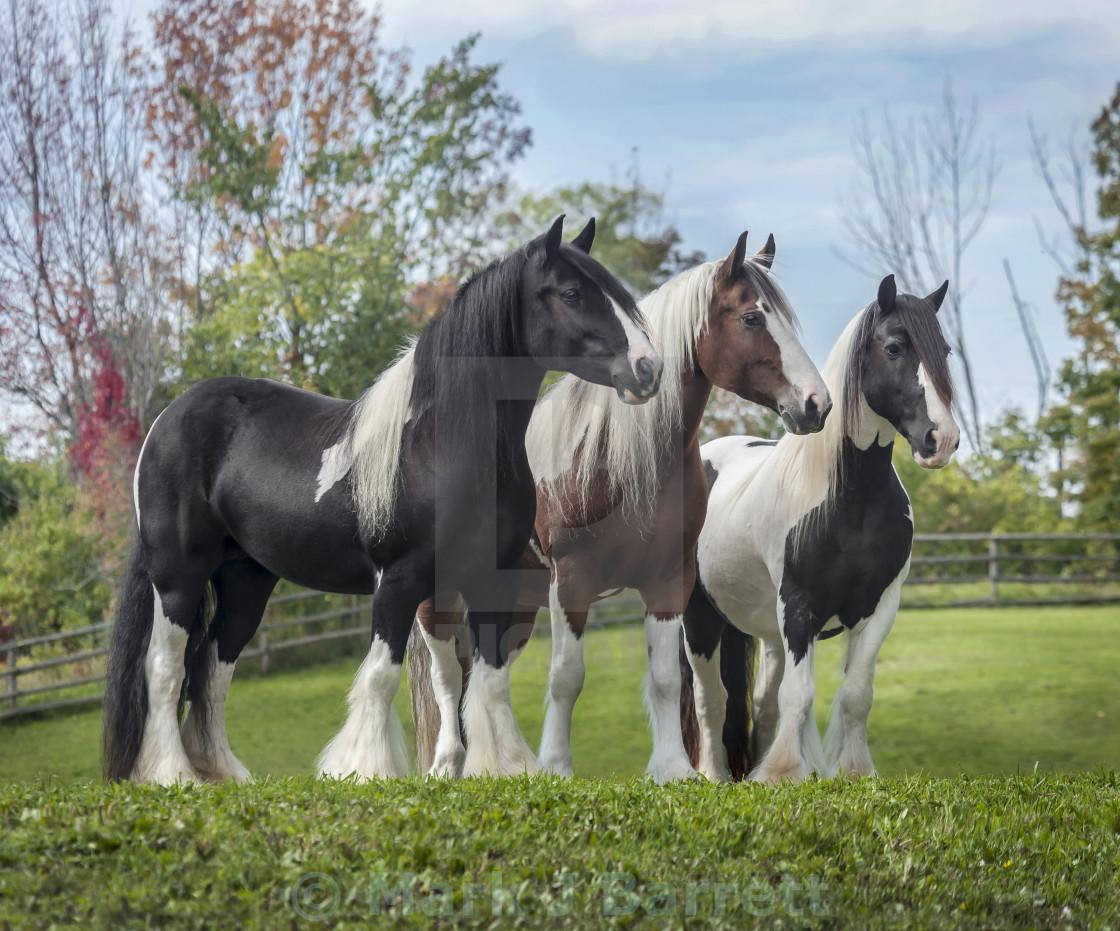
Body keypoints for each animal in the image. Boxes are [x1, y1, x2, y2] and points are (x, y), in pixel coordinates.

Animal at [102, 215, 664, 784]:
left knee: (212, 669)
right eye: (571, 293)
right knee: (165, 669)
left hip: (245, 581)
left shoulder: (487, 581)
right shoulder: (397, 582)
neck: (441, 445)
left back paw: (227, 774)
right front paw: (364, 769)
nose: (648, 369)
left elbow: (485, 678)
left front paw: (500, 767)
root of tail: (167, 419)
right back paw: (173, 774)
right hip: (178, 576)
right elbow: (381, 678)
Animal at [409, 231, 832, 783]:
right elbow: (567, 676)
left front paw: (674, 768)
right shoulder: (570, 582)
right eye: (751, 318)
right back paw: (447, 764)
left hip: (515, 603)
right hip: (440, 599)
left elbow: (666, 680)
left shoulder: (669, 580)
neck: (615, 457)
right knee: (446, 677)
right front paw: (556, 766)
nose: (816, 403)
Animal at [677, 274, 959, 784]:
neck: (849, 502)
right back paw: (715, 775)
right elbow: (800, 695)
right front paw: (785, 772)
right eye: (893, 348)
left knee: (761, 704)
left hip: (765, 630)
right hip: (700, 619)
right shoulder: (799, 609)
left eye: (943, 351)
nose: (941, 439)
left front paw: (855, 771)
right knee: (712, 702)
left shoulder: (880, 607)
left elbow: (856, 695)